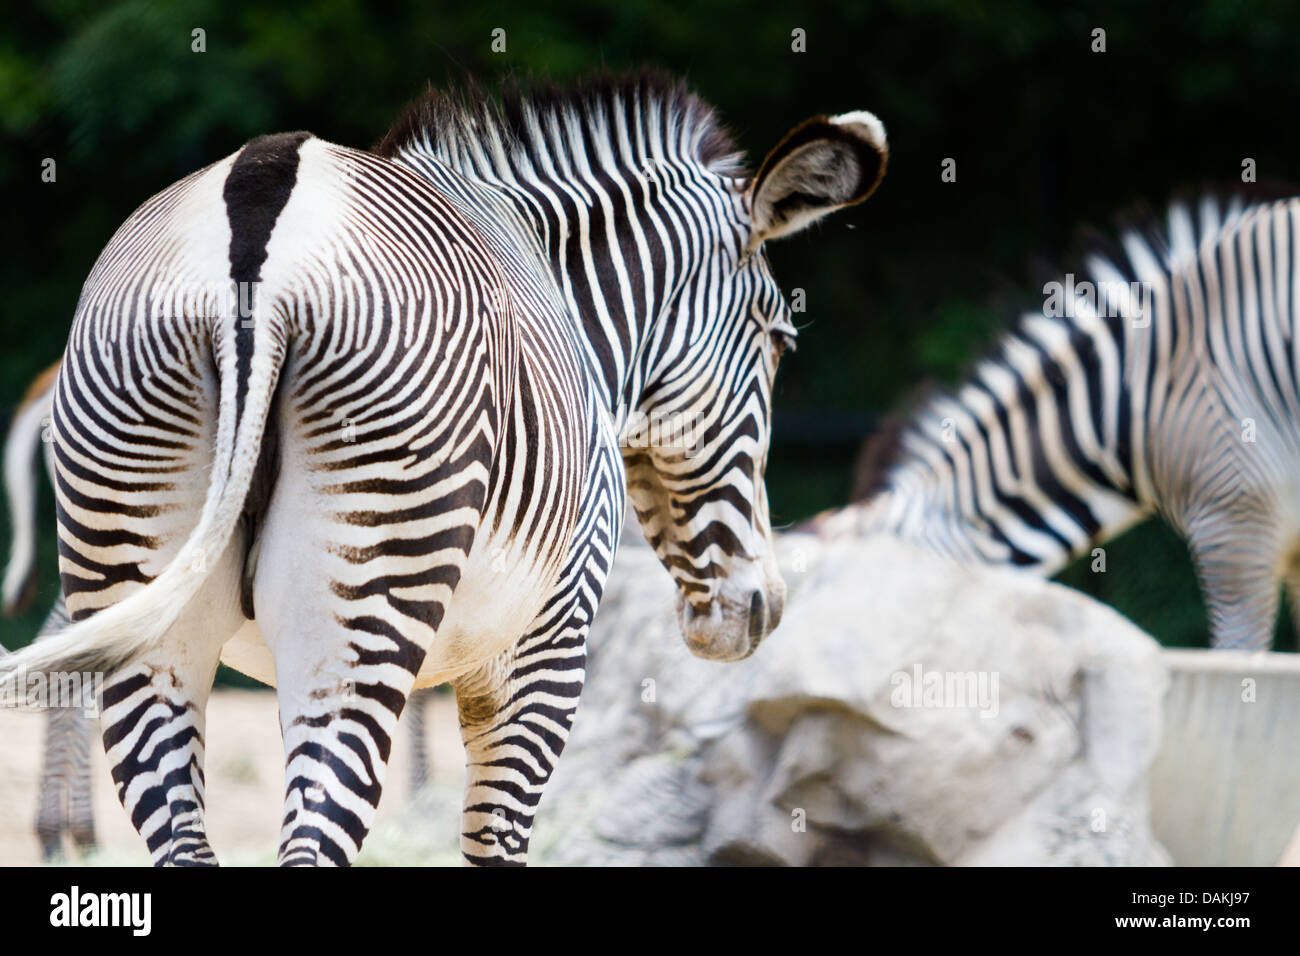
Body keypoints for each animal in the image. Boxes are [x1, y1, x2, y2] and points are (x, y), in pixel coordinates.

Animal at [0, 73, 887, 866]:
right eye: (779, 341)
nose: (762, 607)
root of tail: (260, 206)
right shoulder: (546, 646)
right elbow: (497, 842)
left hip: (139, 583)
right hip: (362, 595)